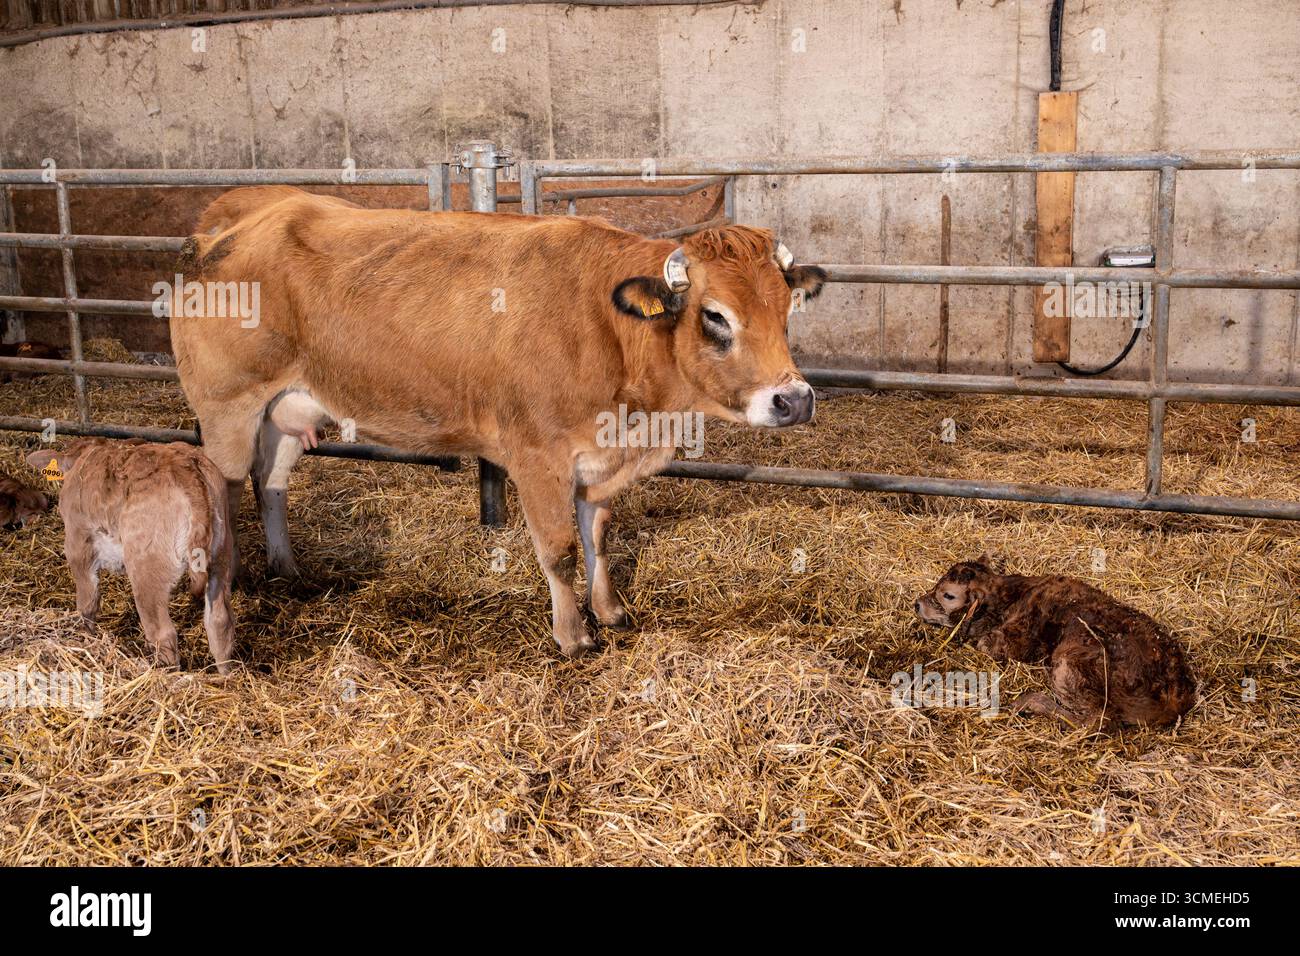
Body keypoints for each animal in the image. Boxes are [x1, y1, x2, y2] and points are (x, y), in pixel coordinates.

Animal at [26, 439, 237, 674]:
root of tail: (185, 467)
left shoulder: (78, 541)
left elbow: (87, 601)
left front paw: (84, 636)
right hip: (222, 557)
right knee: (220, 622)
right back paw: (225, 676)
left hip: (147, 570)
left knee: (162, 633)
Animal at [170, 186, 826, 656]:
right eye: (716, 316)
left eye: (787, 307)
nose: (794, 400)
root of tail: (233, 222)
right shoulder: (538, 456)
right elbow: (559, 549)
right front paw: (573, 635)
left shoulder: (600, 458)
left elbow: (598, 535)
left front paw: (610, 611)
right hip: (227, 408)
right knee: (224, 498)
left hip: (287, 410)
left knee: (271, 483)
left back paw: (287, 571)